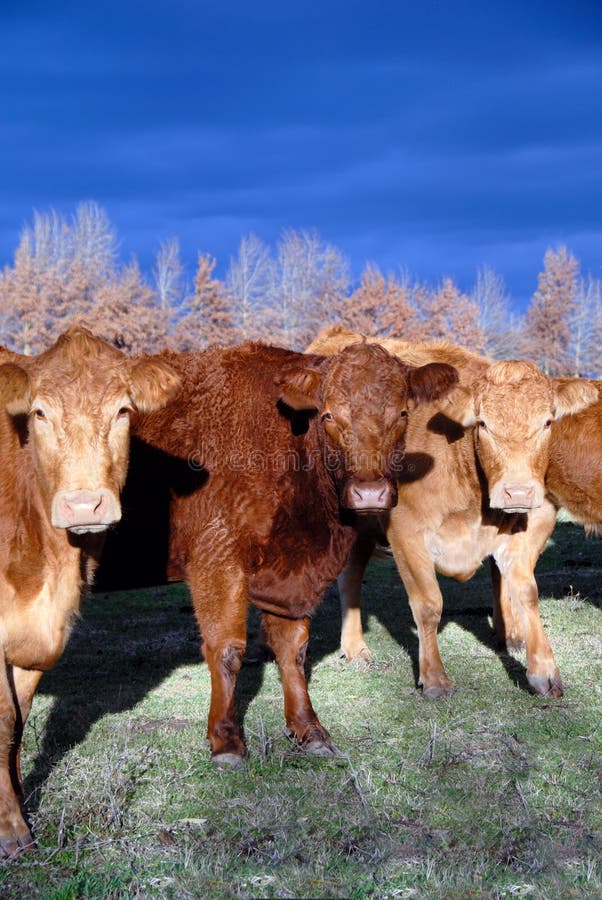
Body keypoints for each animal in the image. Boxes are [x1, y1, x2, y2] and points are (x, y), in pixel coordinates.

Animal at [0, 327, 179, 857]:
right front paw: (10, 829)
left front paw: (23, 806)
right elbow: (2, 721)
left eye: (122, 411)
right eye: (39, 413)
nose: (84, 504)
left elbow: (18, 723)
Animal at [128, 341, 458, 769]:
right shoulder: (215, 558)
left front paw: (309, 729)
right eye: (329, 414)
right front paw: (226, 741)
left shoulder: (289, 572)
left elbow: (293, 648)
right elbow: (226, 649)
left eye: (402, 413)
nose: (370, 493)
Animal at [306, 326, 598, 698]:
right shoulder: (406, 530)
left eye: (547, 422)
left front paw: (543, 671)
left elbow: (526, 592)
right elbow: (429, 604)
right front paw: (434, 677)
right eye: (484, 424)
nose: (518, 491)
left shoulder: (523, 527)